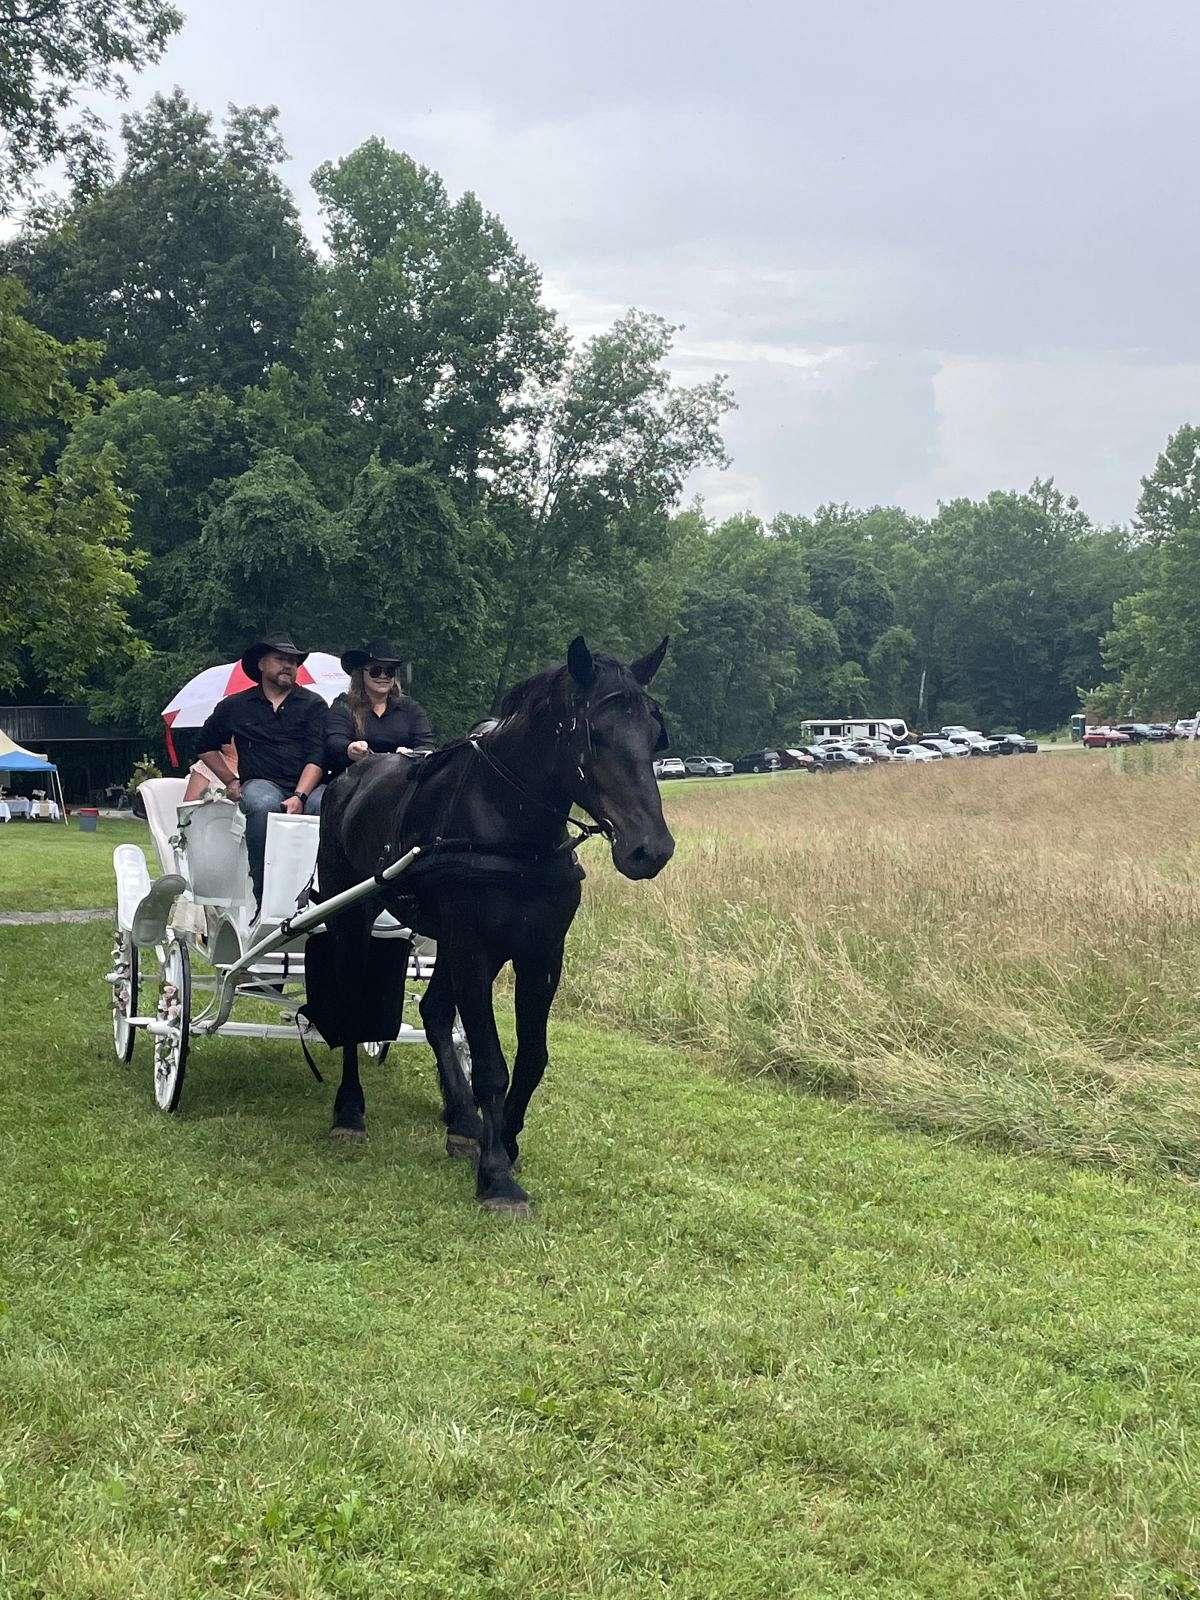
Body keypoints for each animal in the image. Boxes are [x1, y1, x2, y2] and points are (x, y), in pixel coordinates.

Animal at [314, 635, 675, 1213]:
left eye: (654, 734)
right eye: (593, 733)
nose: (651, 850)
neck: (510, 824)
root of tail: (351, 776)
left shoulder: (539, 953)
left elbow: (531, 1058)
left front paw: (500, 1139)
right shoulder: (475, 949)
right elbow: (490, 1063)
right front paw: (498, 1175)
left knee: (434, 1012)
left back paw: (462, 1121)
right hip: (352, 914)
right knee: (354, 1006)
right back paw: (349, 1111)